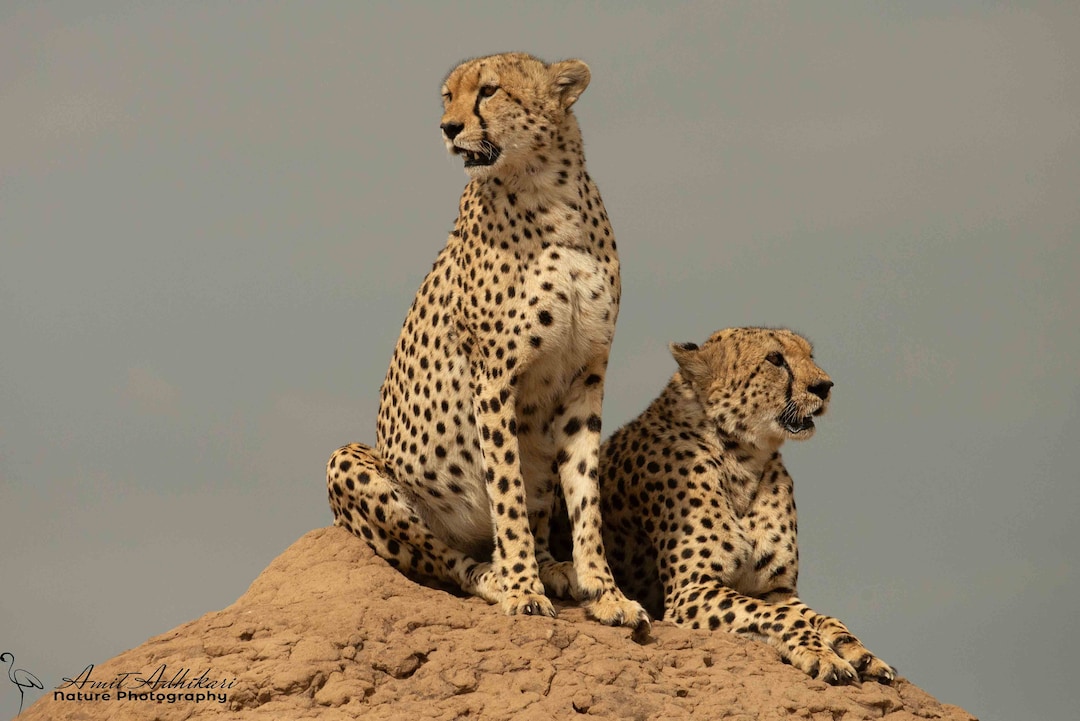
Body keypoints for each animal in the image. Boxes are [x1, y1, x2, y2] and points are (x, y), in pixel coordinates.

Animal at [326, 52, 648, 633]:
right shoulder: (494, 377)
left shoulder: (585, 375)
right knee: (448, 561)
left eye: (489, 91)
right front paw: (522, 589)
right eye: (447, 96)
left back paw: (556, 569)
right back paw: (498, 576)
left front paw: (606, 592)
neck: (548, 191)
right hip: (354, 464)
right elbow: (506, 492)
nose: (448, 128)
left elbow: (584, 494)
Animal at [556, 327, 896, 683]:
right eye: (775, 359)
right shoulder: (691, 589)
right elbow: (781, 616)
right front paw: (824, 656)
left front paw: (862, 655)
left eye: (810, 355)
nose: (824, 386)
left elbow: (824, 618)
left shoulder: (777, 590)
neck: (743, 457)